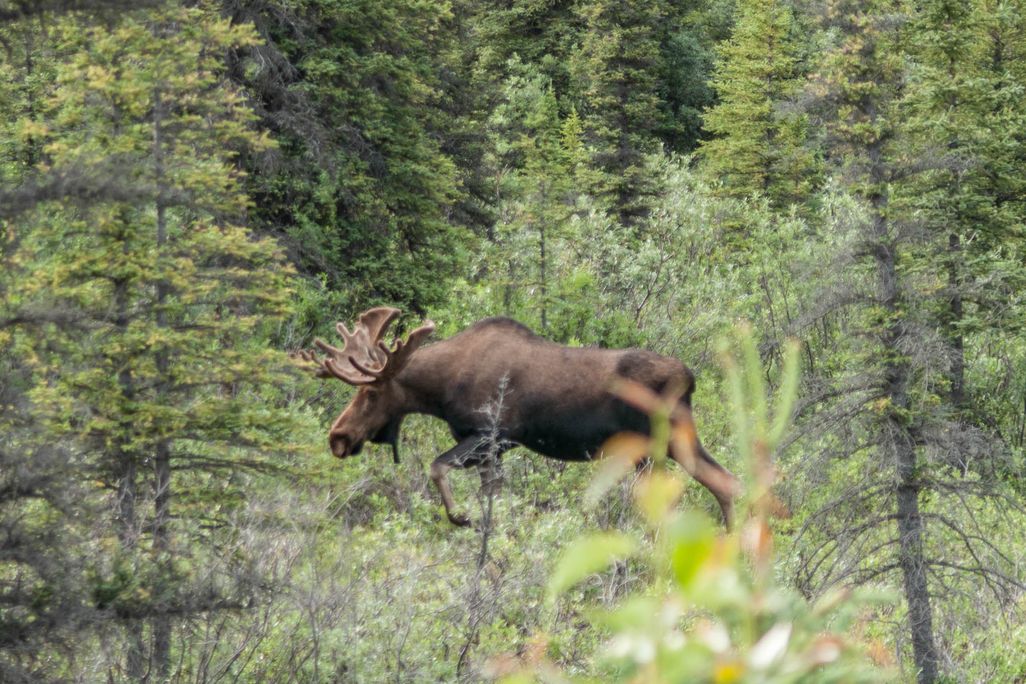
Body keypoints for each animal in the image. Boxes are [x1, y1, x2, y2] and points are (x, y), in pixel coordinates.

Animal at [295, 307, 740, 528]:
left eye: (369, 392)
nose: (338, 437)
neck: (441, 388)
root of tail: (690, 377)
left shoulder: (493, 434)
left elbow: (436, 467)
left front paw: (461, 517)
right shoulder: (491, 448)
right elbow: (492, 495)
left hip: (650, 448)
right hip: (677, 441)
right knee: (726, 482)